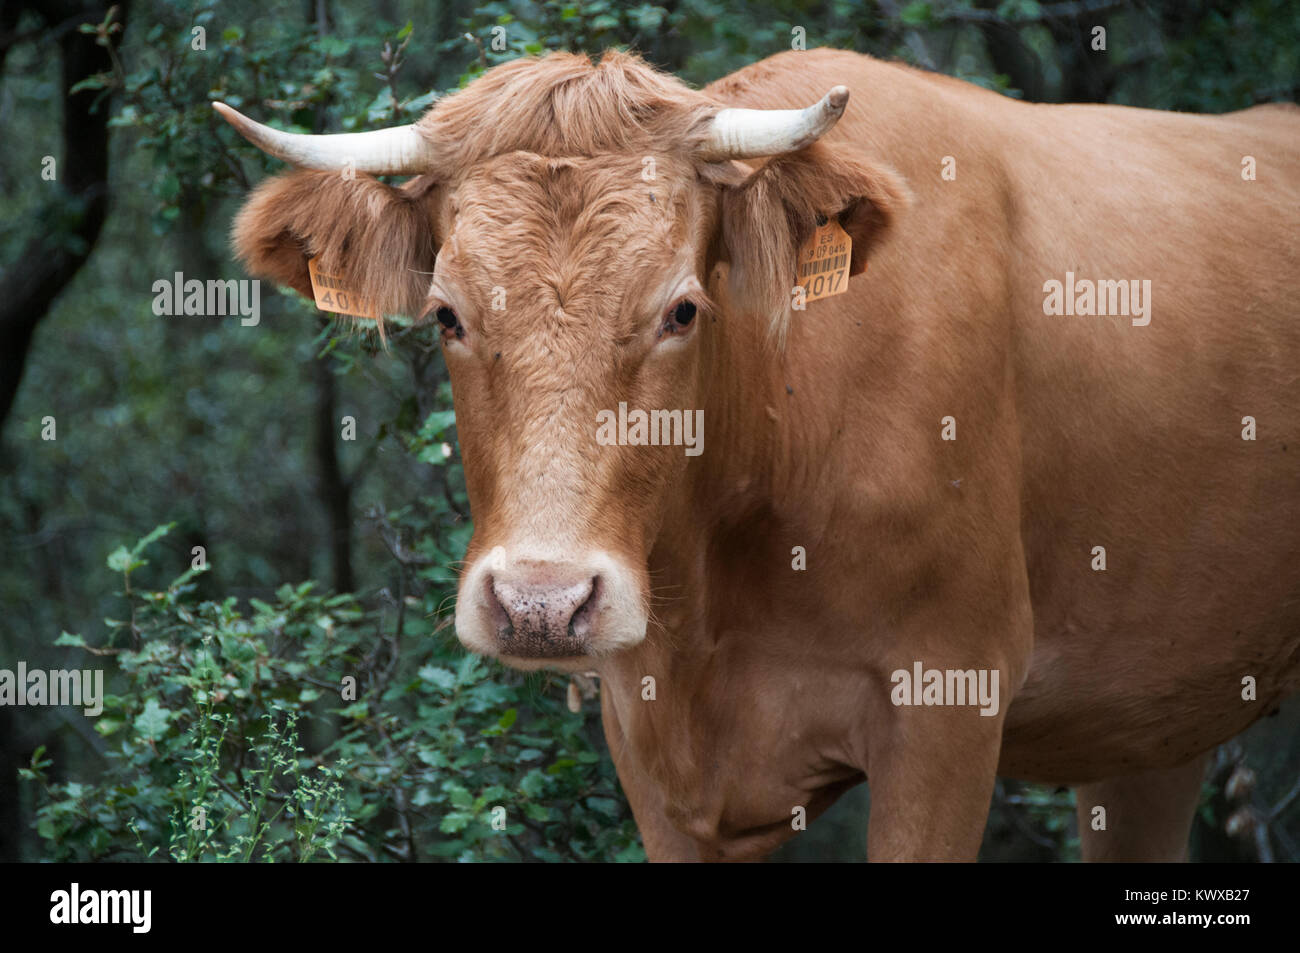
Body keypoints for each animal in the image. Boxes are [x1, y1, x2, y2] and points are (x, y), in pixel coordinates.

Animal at [216, 47, 1300, 861]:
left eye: (681, 308)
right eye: (446, 313)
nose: (541, 603)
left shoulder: (949, 703)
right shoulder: (654, 744)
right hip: (1149, 719)